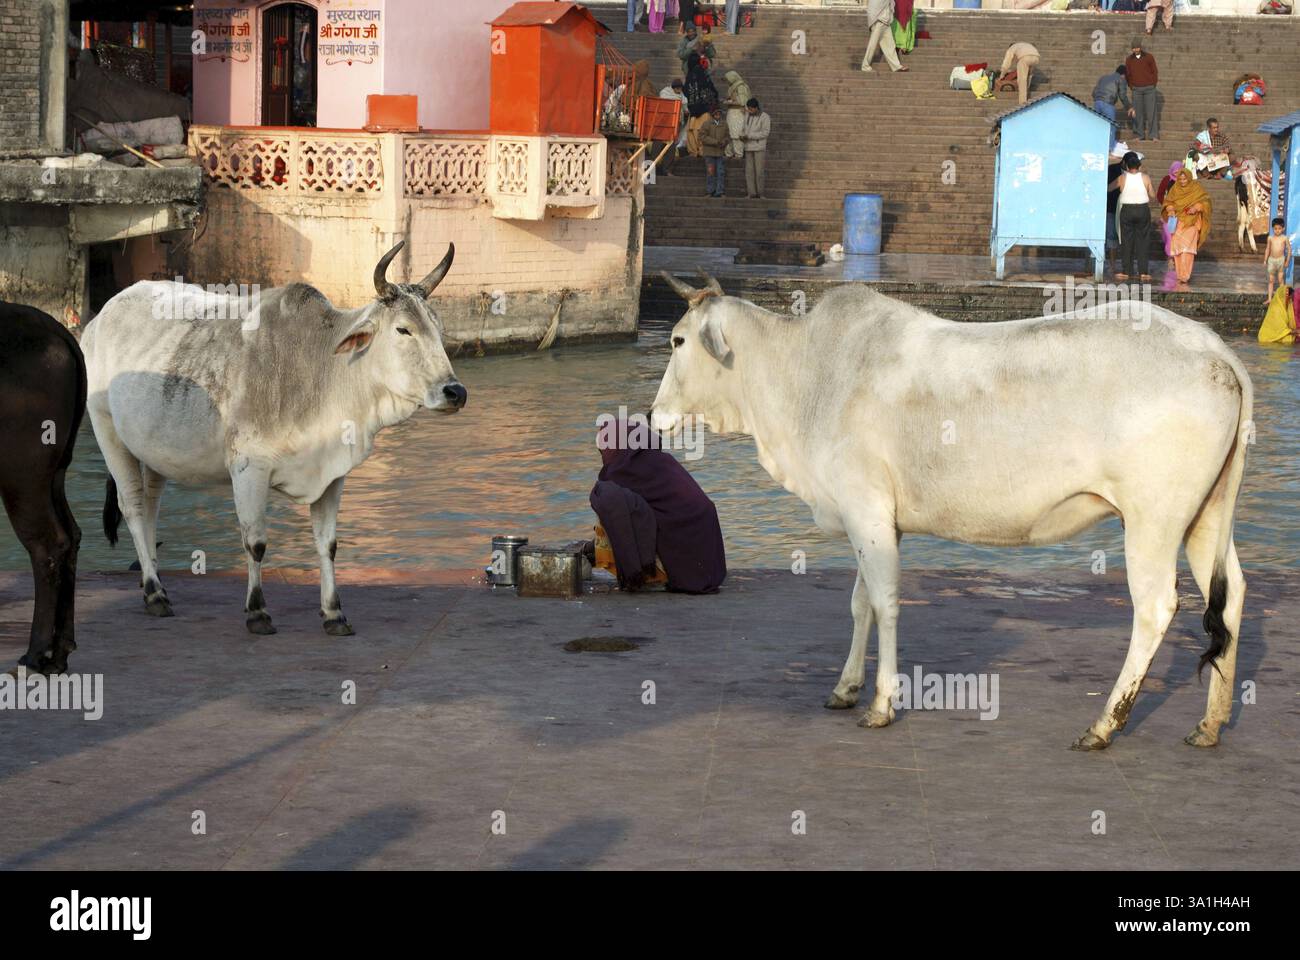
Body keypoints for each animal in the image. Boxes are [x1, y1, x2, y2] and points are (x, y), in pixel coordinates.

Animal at [81, 241, 465, 636]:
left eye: (438, 328)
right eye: (403, 330)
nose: (455, 392)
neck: (322, 370)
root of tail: (103, 314)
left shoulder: (332, 475)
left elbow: (327, 544)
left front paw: (334, 613)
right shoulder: (249, 468)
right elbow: (256, 543)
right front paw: (258, 612)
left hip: (155, 452)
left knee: (151, 508)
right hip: (108, 432)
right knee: (134, 507)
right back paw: (154, 593)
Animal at [652, 275, 1251, 750]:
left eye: (678, 341)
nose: (655, 416)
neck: (806, 376)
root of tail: (1215, 349)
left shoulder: (867, 509)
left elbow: (885, 602)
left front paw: (882, 704)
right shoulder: (870, 518)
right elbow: (860, 602)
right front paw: (845, 688)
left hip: (1153, 520)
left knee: (1155, 608)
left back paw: (1105, 724)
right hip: (1205, 517)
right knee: (1231, 596)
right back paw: (1211, 722)